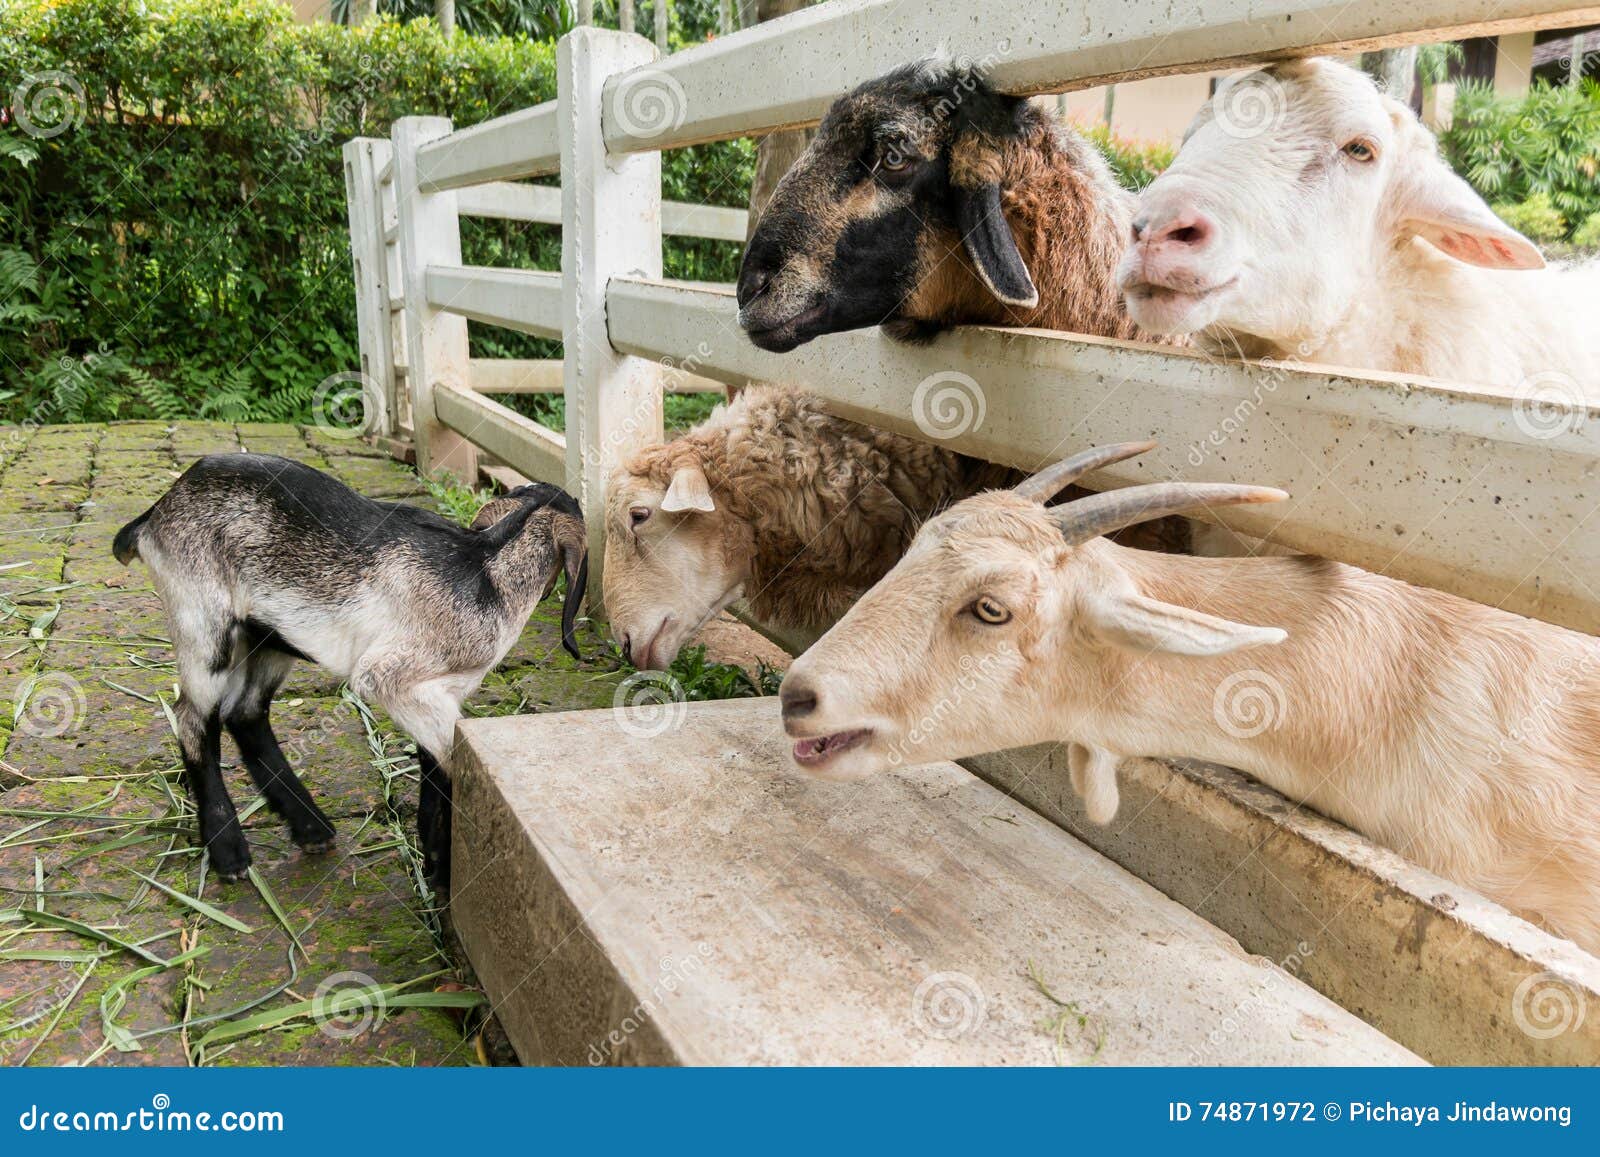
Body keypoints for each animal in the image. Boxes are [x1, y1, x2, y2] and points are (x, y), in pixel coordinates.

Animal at [113, 455, 587, 886]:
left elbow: (434, 763)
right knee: (193, 719)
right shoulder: (391, 678)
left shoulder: (436, 696)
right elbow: (450, 763)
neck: (488, 565)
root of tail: (157, 510)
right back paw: (229, 851)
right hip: (204, 626)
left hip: (270, 640)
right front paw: (443, 871)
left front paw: (433, 860)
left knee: (245, 714)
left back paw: (311, 828)